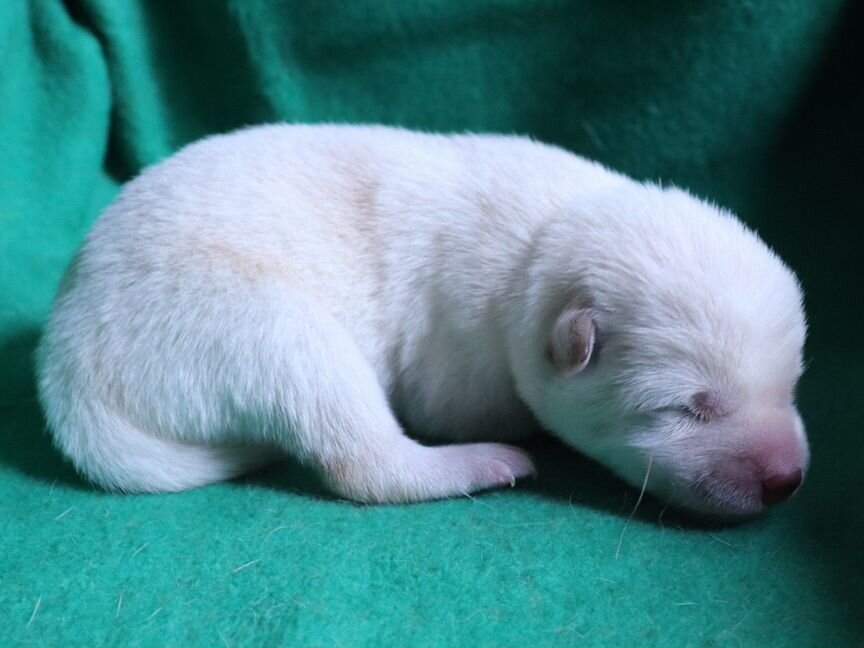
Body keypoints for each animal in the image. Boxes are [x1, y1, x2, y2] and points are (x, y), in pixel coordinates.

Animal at [37, 125, 808, 516]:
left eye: (792, 384)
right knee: (366, 462)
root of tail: (63, 363)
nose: (788, 480)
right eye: (689, 409)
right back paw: (481, 463)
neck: (550, 237)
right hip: (267, 328)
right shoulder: (458, 365)